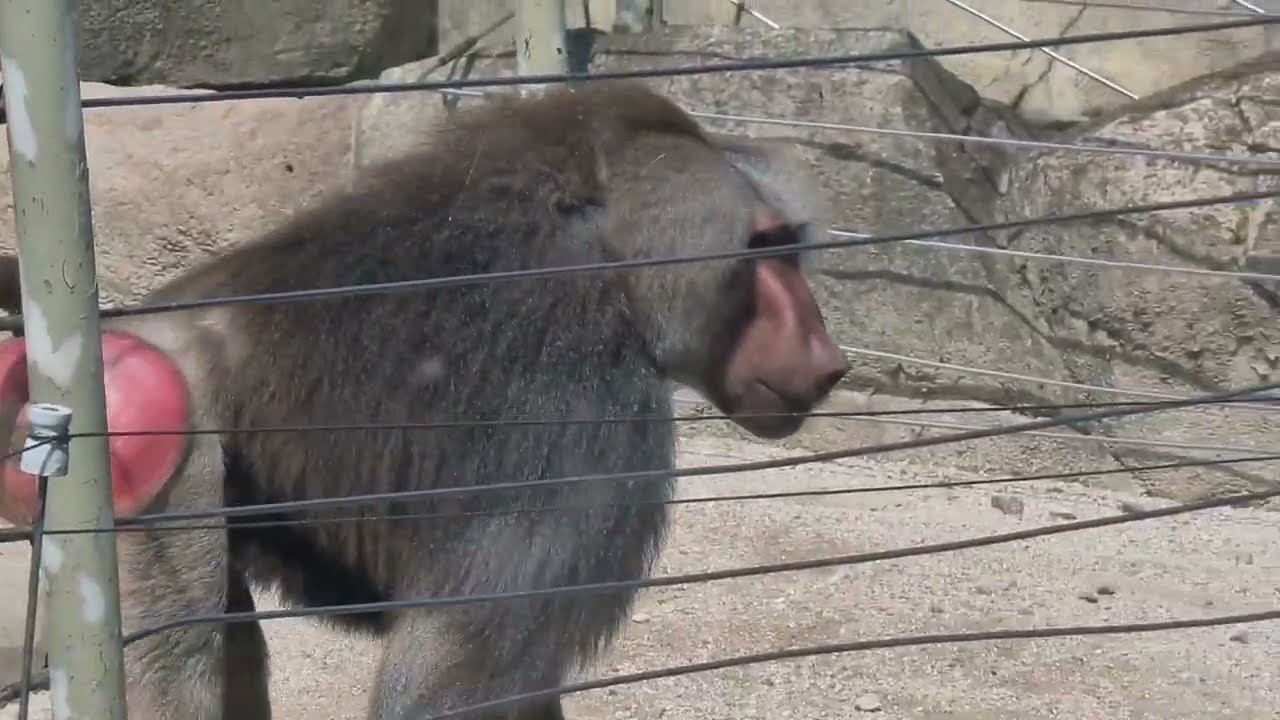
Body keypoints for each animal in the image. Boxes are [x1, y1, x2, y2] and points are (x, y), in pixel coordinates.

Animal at [0, 81, 848, 720]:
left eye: (787, 247)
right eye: (764, 251)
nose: (832, 360)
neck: (605, 250)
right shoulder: (586, 418)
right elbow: (448, 681)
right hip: (157, 451)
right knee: (186, 651)